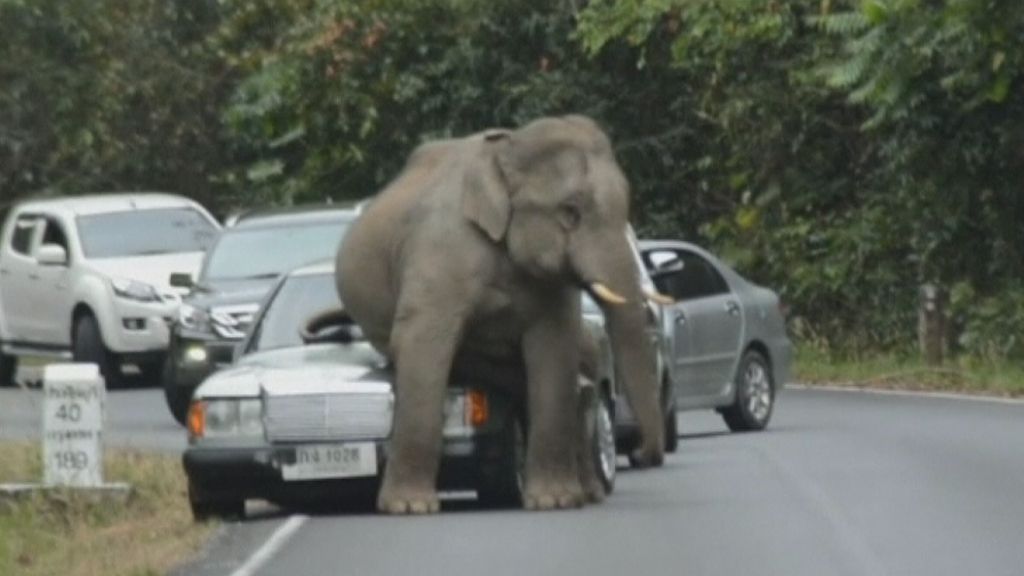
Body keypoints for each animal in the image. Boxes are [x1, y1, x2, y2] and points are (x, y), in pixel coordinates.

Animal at [336, 115, 665, 514]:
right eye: (569, 212)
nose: (645, 454)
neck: (508, 151)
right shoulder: (440, 253)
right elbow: (423, 344)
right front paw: (409, 508)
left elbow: (553, 348)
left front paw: (554, 501)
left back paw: (587, 491)